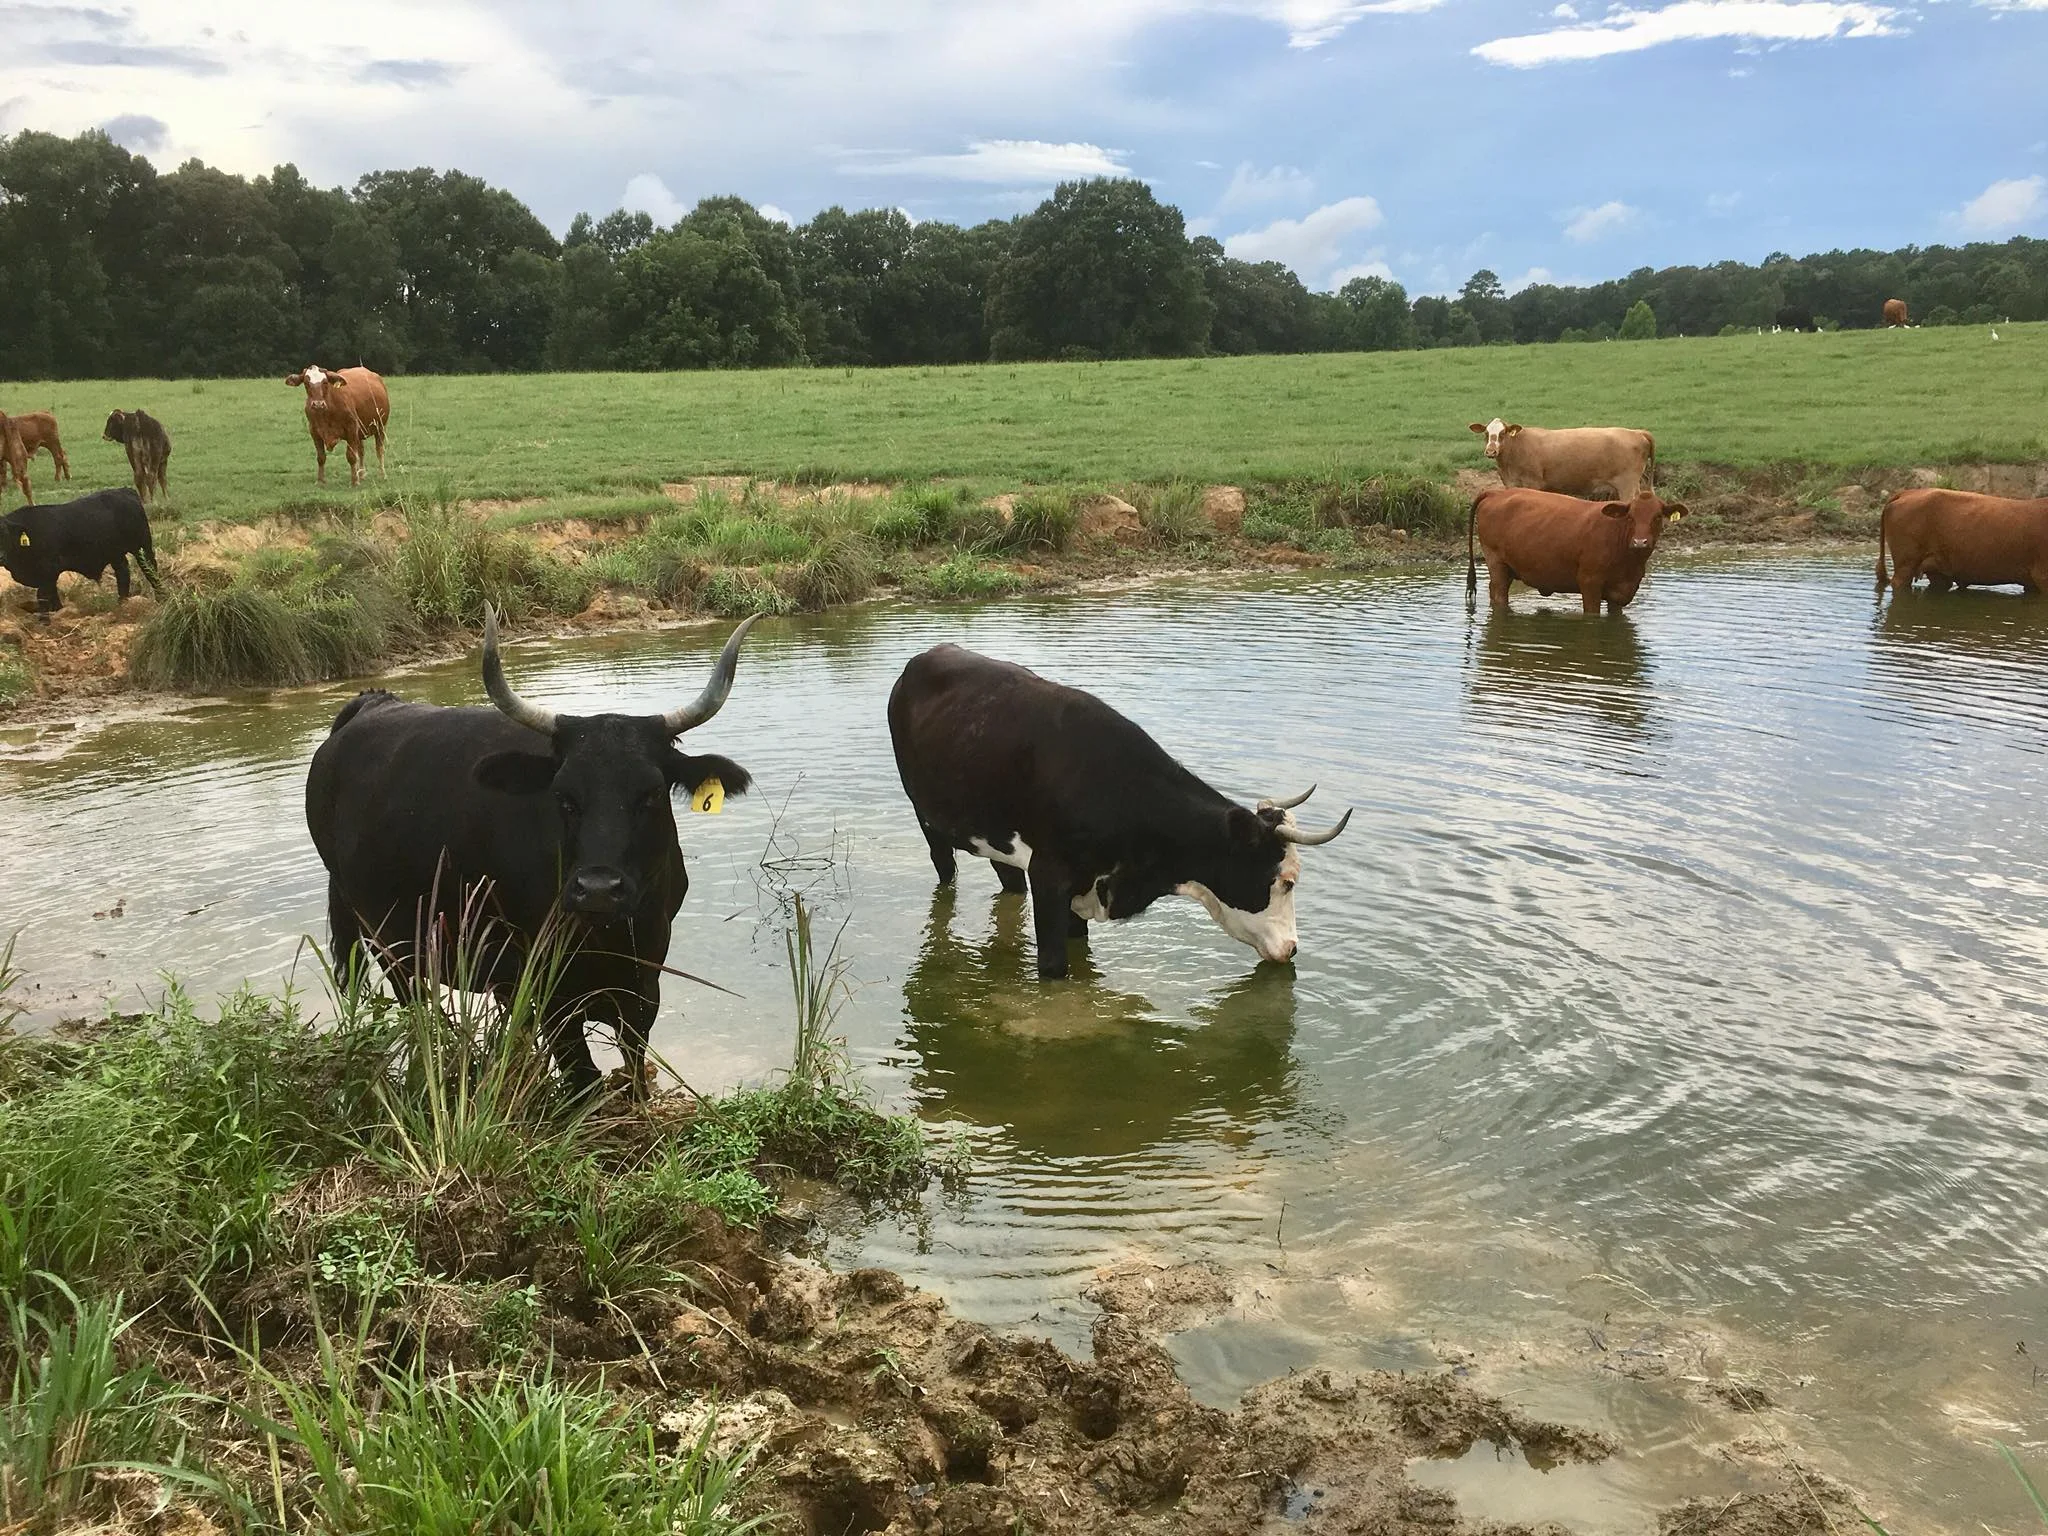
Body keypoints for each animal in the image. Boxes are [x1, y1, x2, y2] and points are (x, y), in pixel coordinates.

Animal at [0, 488, 161, 616]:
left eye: (5, 534)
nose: (1, 557)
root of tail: (125, 490)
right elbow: (50, 594)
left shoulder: (49, 569)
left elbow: (44, 594)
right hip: (116, 553)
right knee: (123, 573)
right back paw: (122, 603)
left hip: (142, 547)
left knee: (151, 571)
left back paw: (161, 599)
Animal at [304, 608, 758, 1095]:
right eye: (563, 795)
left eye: (652, 792)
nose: (598, 889)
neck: (609, 933)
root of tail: (372, 703)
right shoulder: (551, 994)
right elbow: (582, 1079)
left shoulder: (644, 984)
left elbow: (635, 1068)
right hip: (388, 941)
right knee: (416, 1006)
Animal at [887, 644, 1352, 981]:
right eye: (1287, 881)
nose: (1292, 948)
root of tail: (924, 657)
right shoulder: (1050, 878)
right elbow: (1055, 971)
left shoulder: (1077, 893)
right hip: (926, 819)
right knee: (945, 872)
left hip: (997, 841)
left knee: (1008, 885)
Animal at [1467, 419, 1656, 502]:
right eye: (1486, 433)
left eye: (1503, 433)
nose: (1491, 451)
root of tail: (1637, 432)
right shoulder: (1511, 484)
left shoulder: (1533, 483)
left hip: (1627, 485)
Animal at [1467, 485, 1689, 614]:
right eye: (1630, 517)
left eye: (1657, 517)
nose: (1640, 542)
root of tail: (1497, 492)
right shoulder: (1590, 583)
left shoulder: (1620, 591)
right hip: (1496, 562)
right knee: (1498, 593)